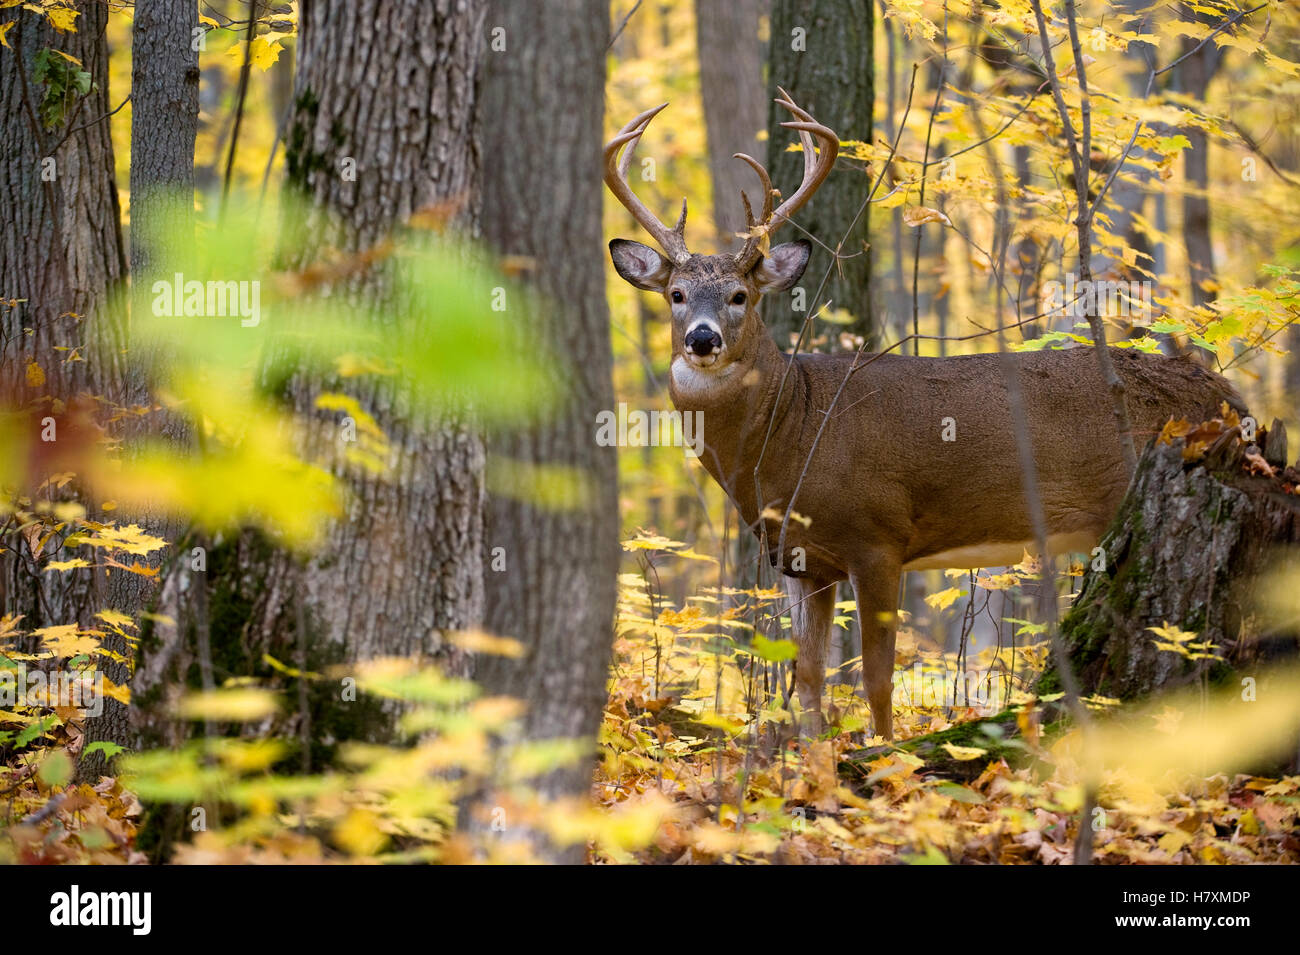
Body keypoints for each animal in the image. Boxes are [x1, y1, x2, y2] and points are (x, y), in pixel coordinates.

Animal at [604, 90, 1243, 741]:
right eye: (676, 295)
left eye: (740, 295)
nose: (702, 339)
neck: (792, 430)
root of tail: (1229, 395)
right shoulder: (801, 562)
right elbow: (807, 682)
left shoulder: (878, 537)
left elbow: (877, 680)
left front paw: (885, 757)